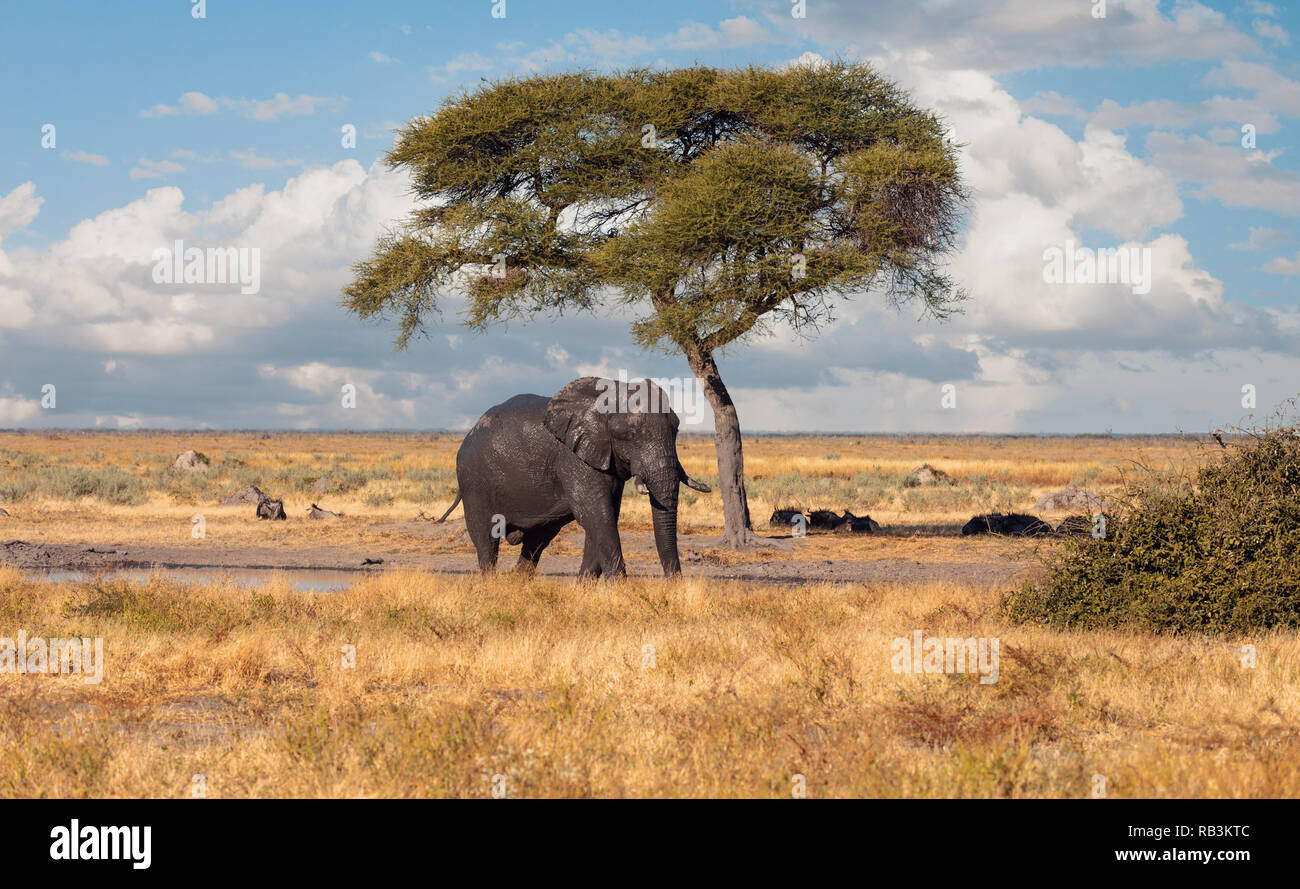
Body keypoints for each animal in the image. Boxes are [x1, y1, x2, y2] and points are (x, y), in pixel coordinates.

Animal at [436, 376, 711, 578]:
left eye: (676, 429)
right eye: (630, 434)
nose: (675, 586)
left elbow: (604, 516)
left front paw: (584, 589)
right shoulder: (573, 458)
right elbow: (596, 514)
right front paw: (623, 591)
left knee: (537, 541)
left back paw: (517, 584)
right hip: (474, 480)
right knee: (486, 539)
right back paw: (492, 584)